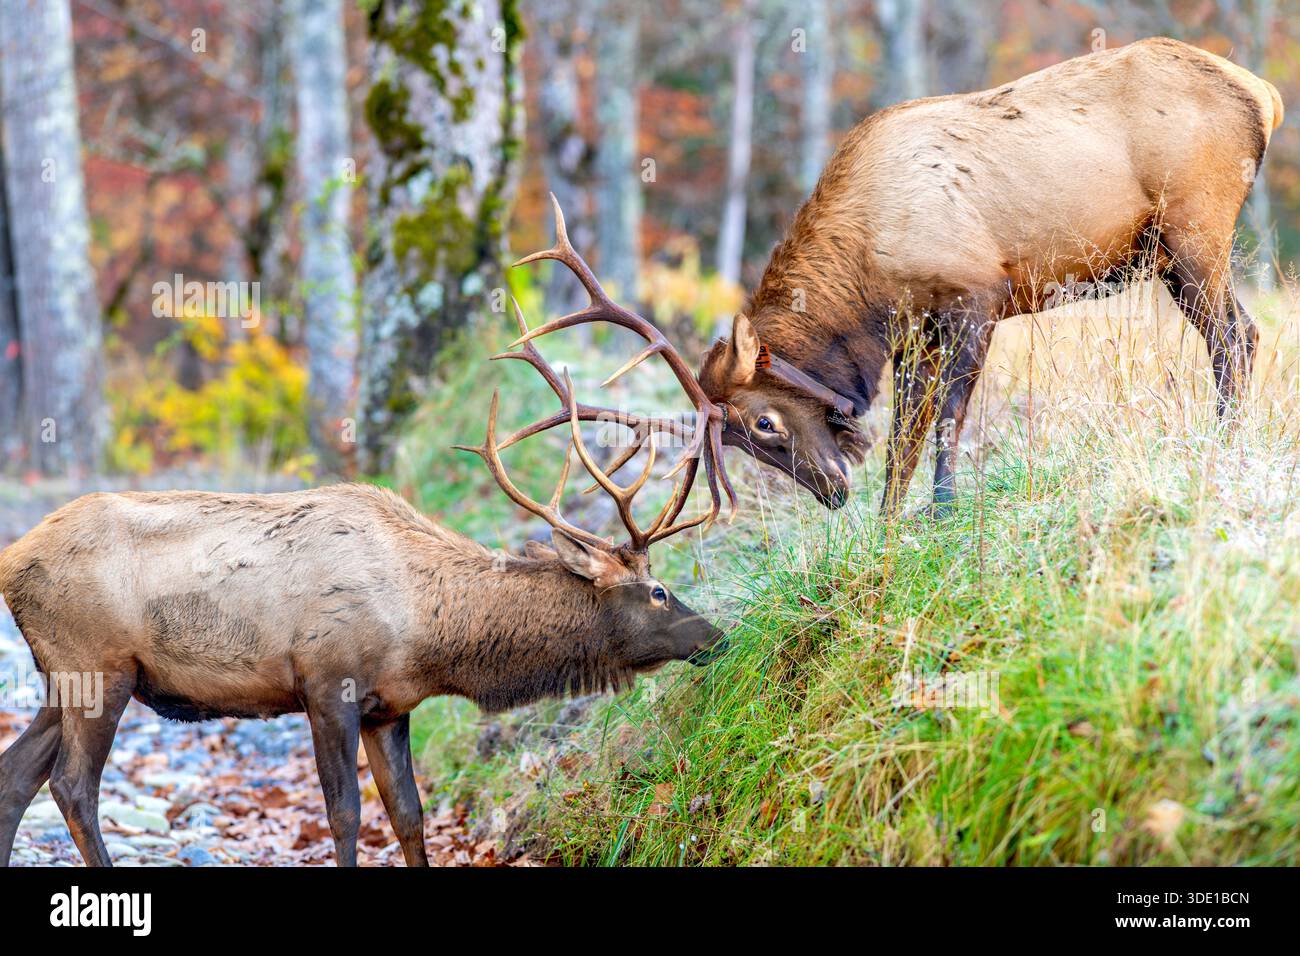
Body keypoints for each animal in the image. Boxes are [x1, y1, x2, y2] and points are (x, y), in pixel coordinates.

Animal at [0, 226, 731, 869]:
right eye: (659, 591)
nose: (719, 638)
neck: (429, 634)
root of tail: (10, 560)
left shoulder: (391, 706)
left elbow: (408, 815)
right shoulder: (327, 680)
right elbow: (345, 813)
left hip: (62, 675)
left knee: (15, 775)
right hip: (96, 664)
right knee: (71, 786)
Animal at [695, 37, 1283, 515]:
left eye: (763, 421)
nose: (832, 493)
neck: (866, 285)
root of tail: (1265, 96)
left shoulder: (975, 299)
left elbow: (948, 416)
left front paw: (943, 510)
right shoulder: (914, 333)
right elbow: (904, 433)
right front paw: (887, 523)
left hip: (1196, 230)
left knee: (1232, 336)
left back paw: (1224, 447)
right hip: (1169, 256)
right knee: (1245, 332)